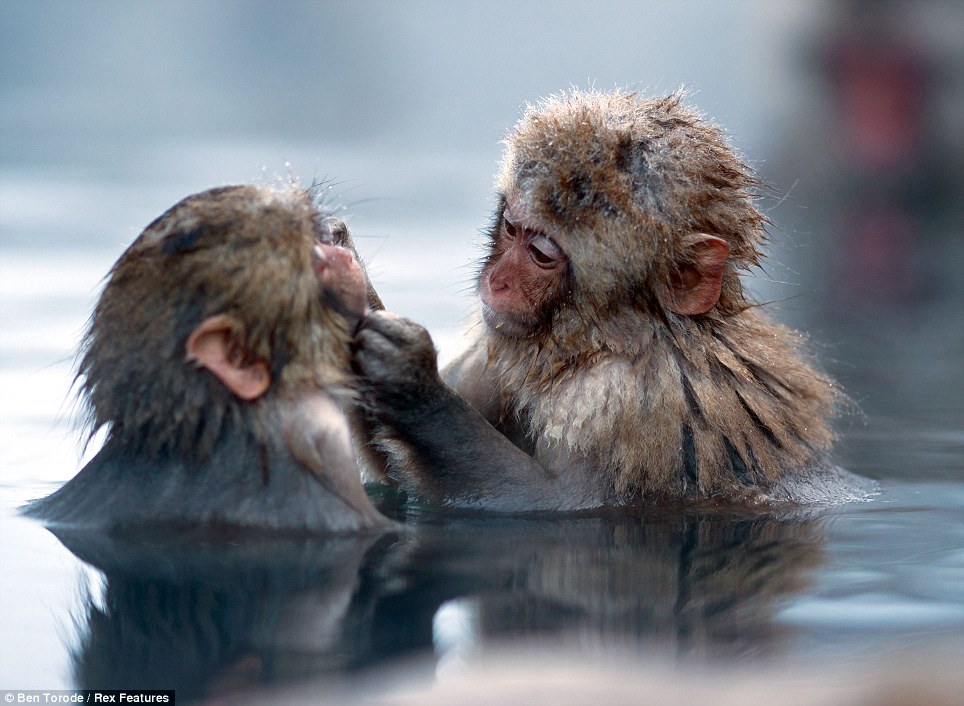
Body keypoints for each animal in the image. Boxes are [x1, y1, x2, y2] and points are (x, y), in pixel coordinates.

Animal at [354, 89, 873, 510]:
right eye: (510, 228)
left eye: (541, 254)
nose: (496, 282)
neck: (609, 339)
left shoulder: (627, 401)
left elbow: (551, 502)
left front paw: (414, 386)